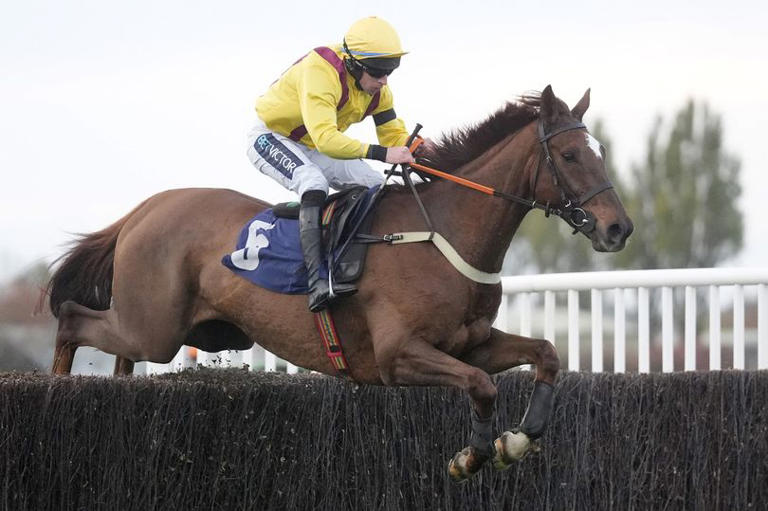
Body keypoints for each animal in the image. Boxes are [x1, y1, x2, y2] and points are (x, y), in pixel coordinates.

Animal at [47, 85, 633, 481]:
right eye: (571, 155)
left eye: (601, 152)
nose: (618, 228)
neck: (439, 233)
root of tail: (145, 208)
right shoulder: (398, 355)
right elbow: (481, 385)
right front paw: (473, 455)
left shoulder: (471, 343)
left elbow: (547, 353)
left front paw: (518, 440)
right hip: (156, 330)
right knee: (73, 319)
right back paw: (54, 392)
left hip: (181, 332)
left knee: (117, 355)